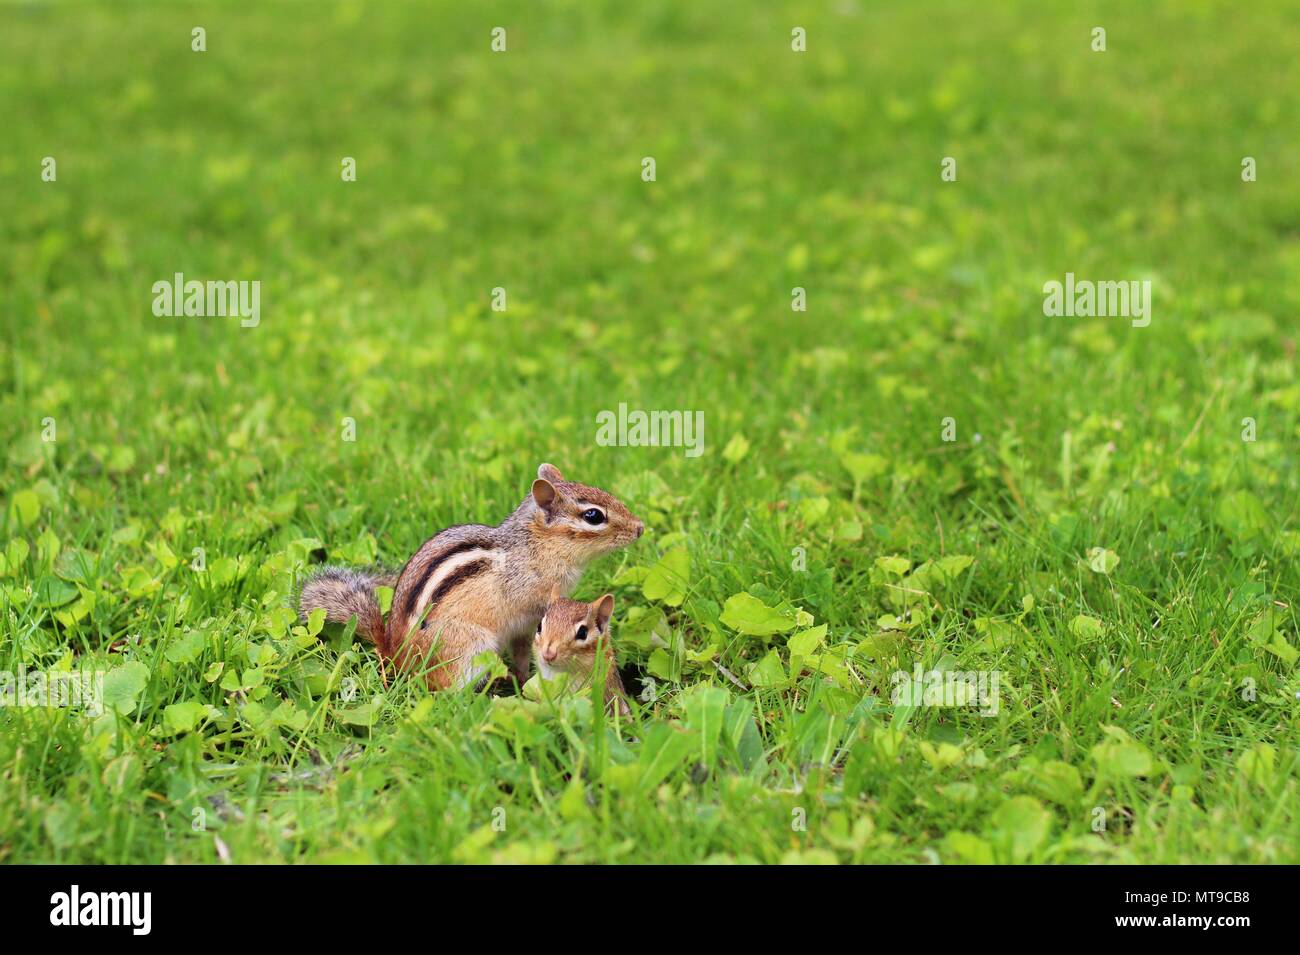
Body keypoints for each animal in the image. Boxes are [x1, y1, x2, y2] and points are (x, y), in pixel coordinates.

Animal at [298, 463, 643, 691]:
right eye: (593, 515)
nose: (640, 528)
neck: (535, 546)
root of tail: (394, 655)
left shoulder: (524, 627)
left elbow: (523, 653)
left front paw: (524, 678)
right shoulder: (526, 598)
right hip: (470, 649)